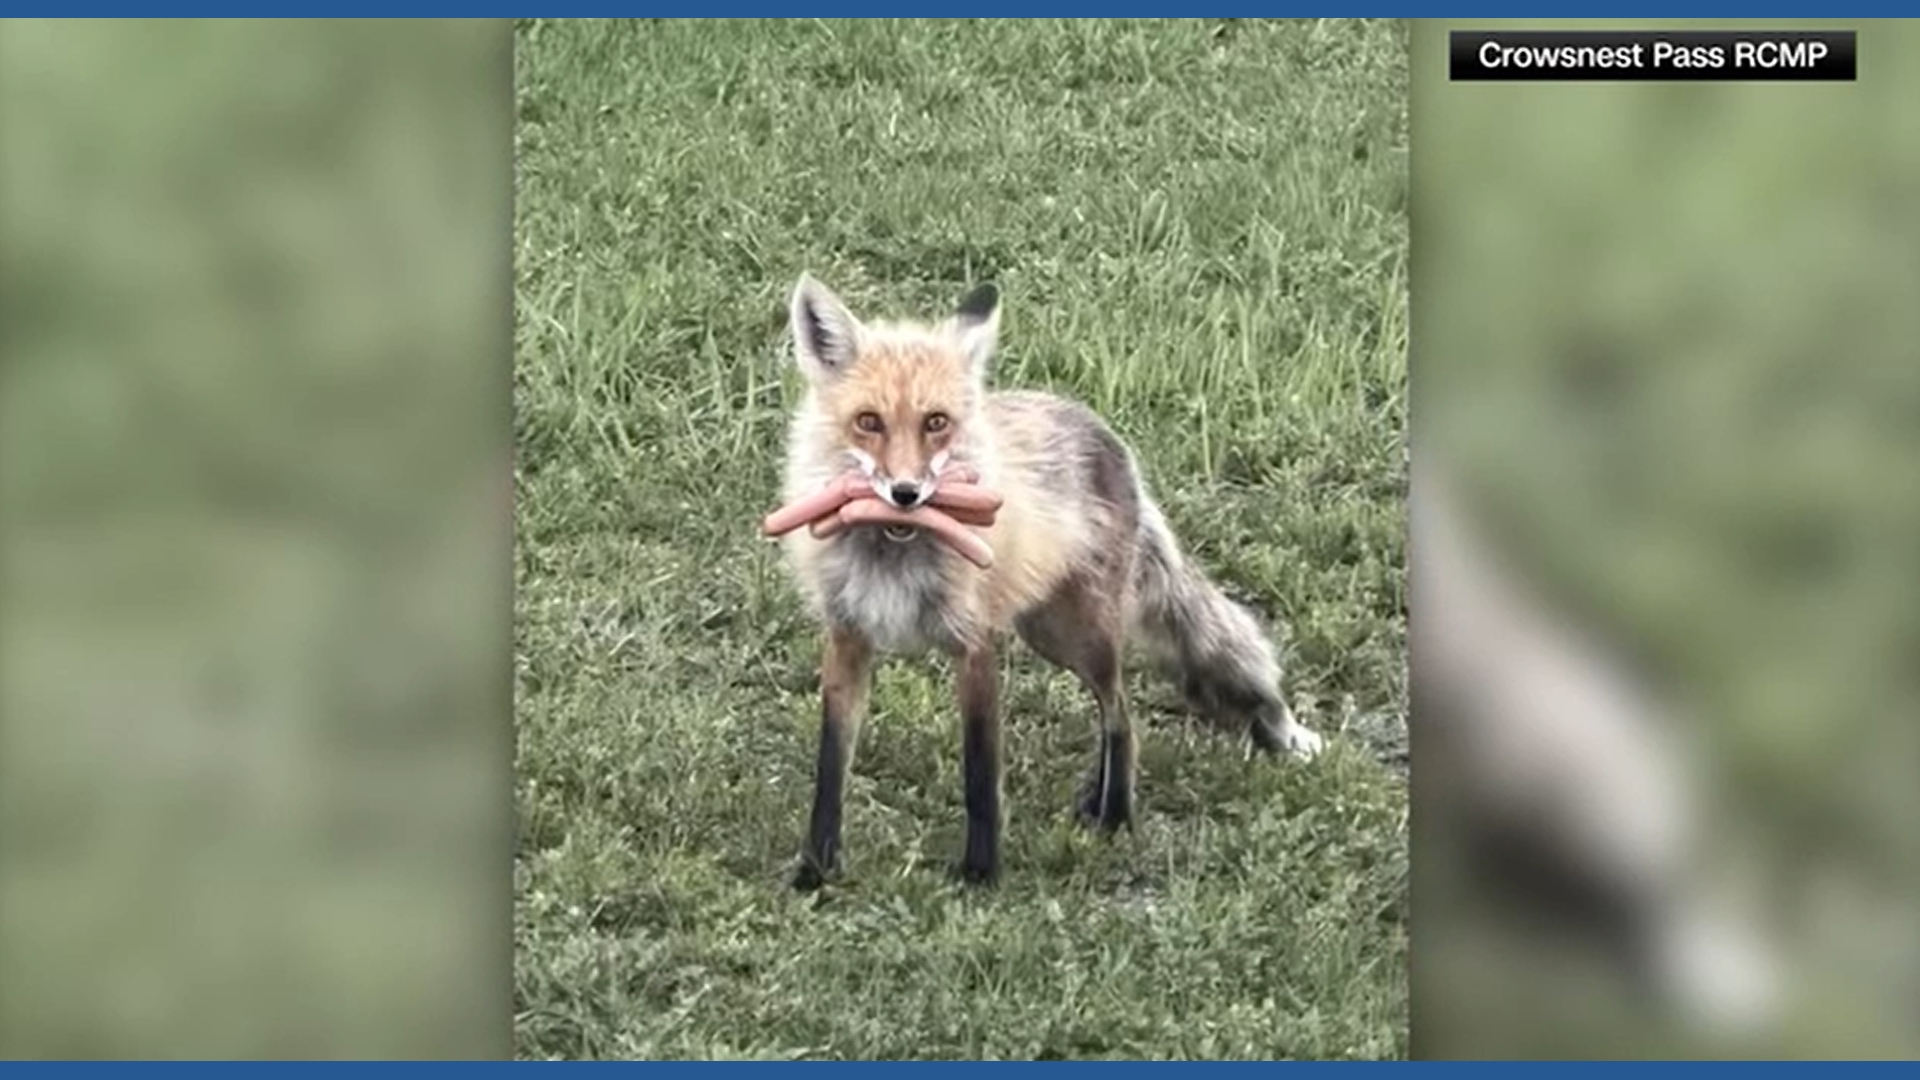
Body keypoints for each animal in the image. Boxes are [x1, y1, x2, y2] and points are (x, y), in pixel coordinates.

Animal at [777, 273, 1323, 890]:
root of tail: (1108, 435)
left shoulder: (974, 644)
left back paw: (1115, 816)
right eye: (868, 422)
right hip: (1046, 631)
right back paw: (1095, 801)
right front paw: (815, 871)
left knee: (1121, 714)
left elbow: (980, 772)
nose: (906, 493)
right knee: (1117, 711)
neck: (895, 549)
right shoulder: (848, 639)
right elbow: (830, 768)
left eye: (936, 422)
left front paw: (981, 874)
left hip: (1080, 635)